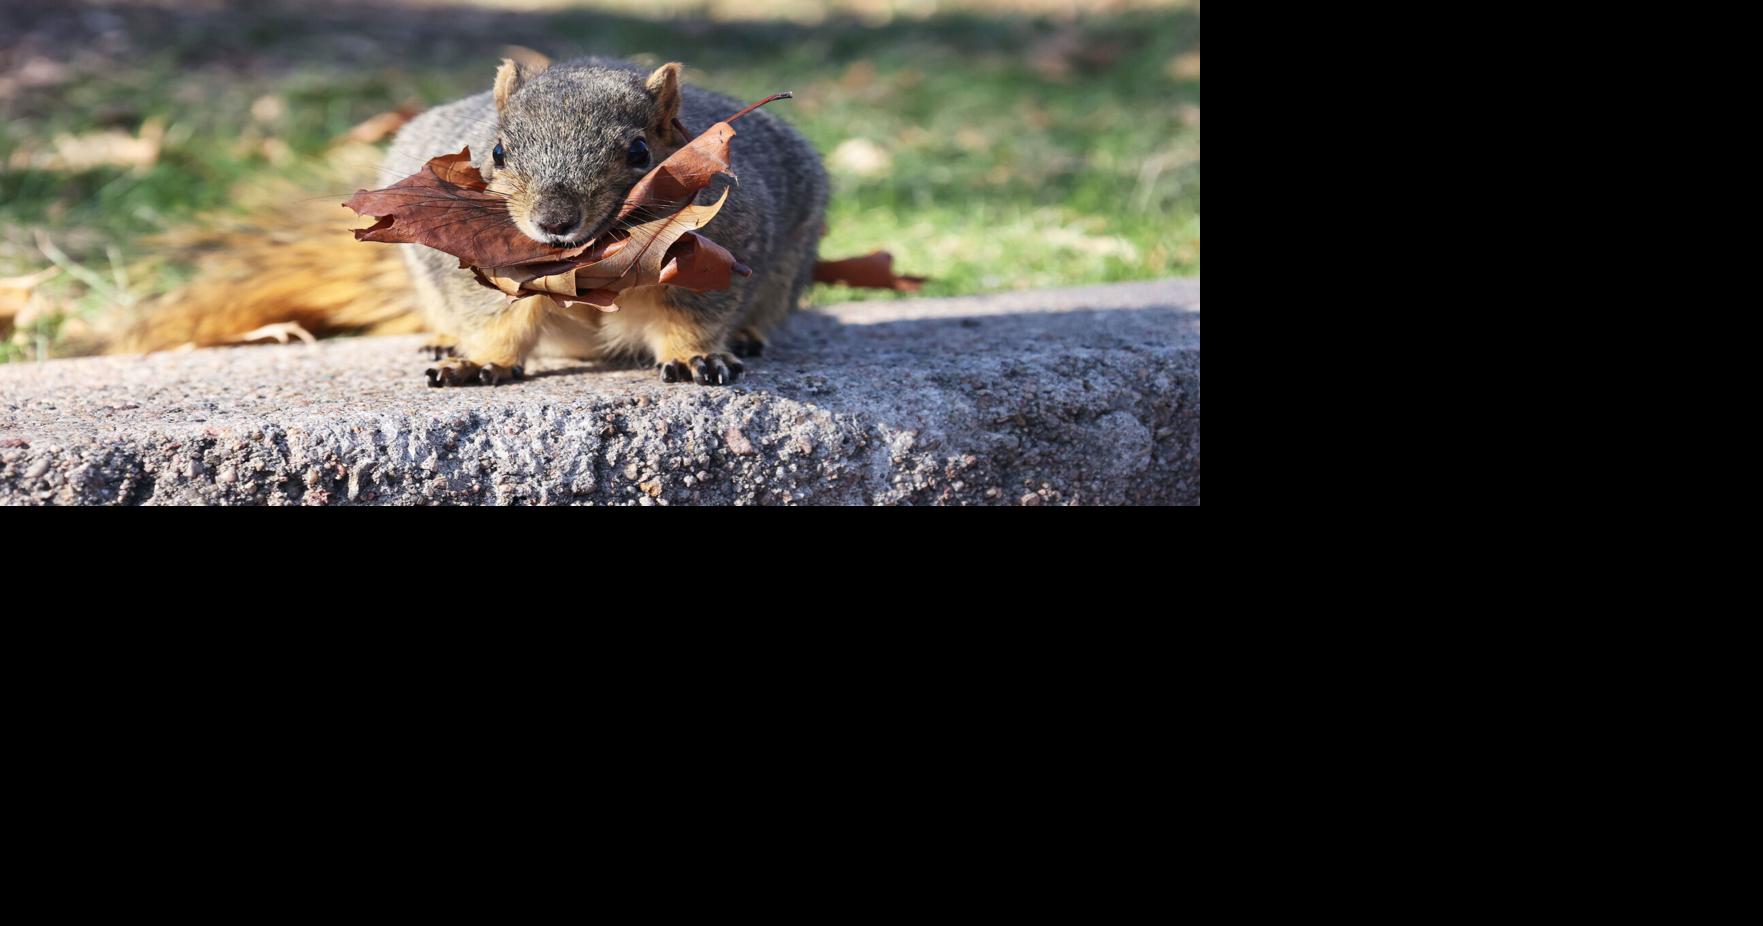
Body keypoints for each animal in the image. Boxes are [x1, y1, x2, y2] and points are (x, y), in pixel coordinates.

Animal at [391, 53, 827, 387]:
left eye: (639, 151)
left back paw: (747, 336)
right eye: (498, 153)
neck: (587, 260)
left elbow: (692, 314)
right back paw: (445, 340)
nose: (554, 220)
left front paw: (695, 356)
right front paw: (482, 360)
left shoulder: (722, 248)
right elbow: (496, 317)